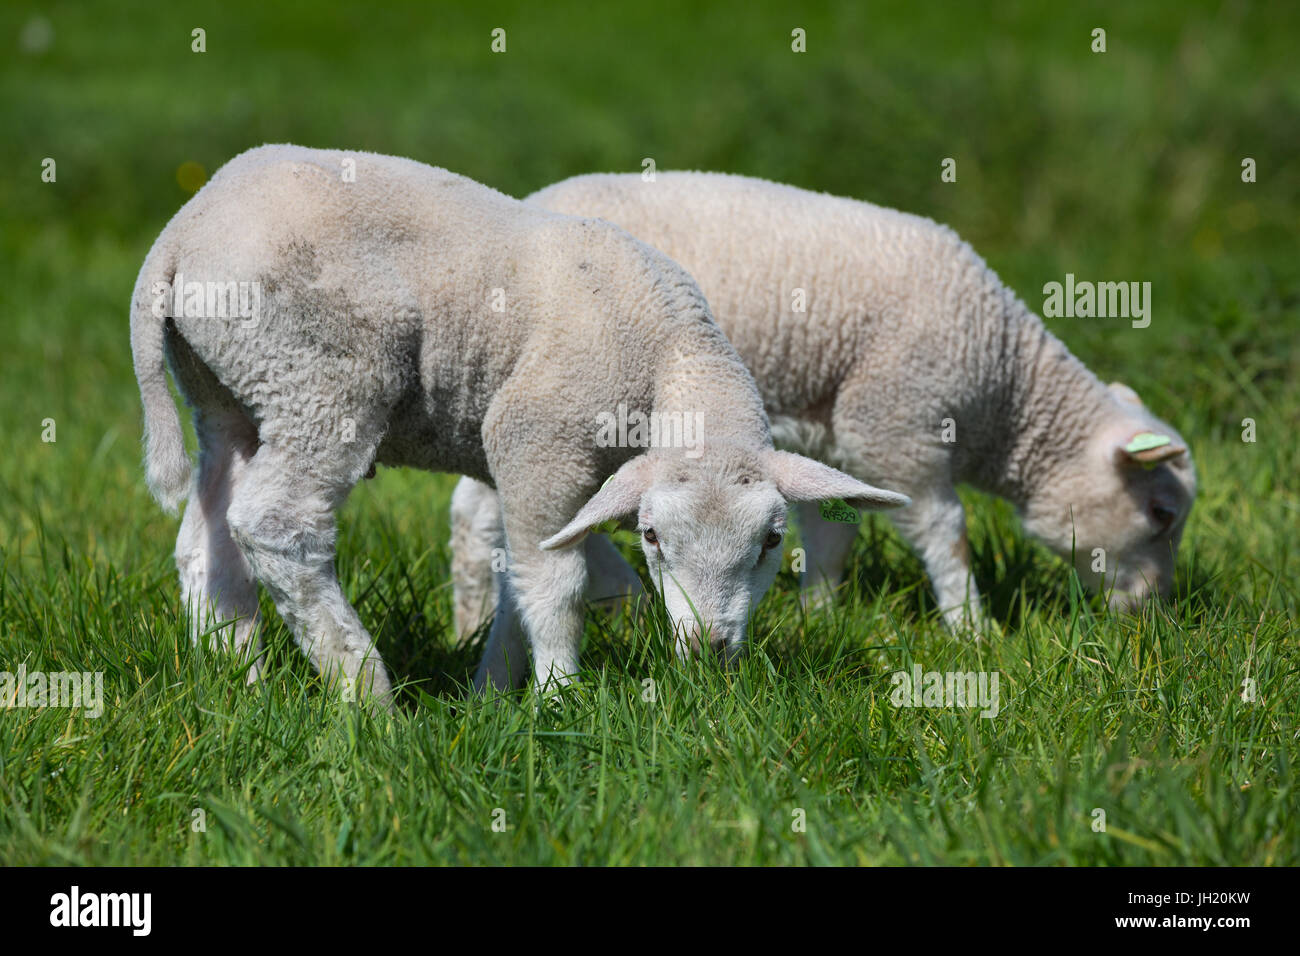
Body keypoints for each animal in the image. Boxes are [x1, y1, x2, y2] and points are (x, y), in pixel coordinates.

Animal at [130, 147, 909, 702]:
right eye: (652, 537)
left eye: (773, 541)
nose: (708, 651)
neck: (668, 354)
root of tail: (175, 238)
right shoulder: (540, 442)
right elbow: (553, 583)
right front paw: (560, 695)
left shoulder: (542, 474)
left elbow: (518, 576)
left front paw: (492, 693)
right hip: (321, 376)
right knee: (276, 524)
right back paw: (367, 694)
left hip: (228, 389)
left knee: (205, 535)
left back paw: (239, 679)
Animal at [451, 171, 1196, 636]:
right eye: (1161, 513)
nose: (1152, 617)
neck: (1005, 385)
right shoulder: (898, 425)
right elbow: (944, 531)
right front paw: (973, 628)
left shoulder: (832, 440)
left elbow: (832, 532)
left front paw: (822, 614)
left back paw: (473, 622)